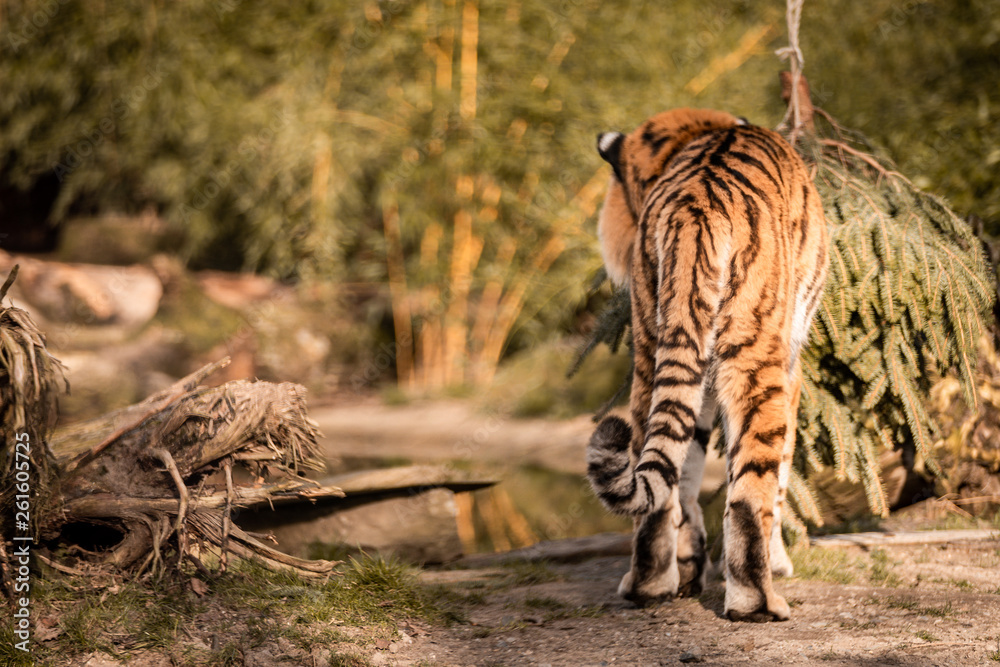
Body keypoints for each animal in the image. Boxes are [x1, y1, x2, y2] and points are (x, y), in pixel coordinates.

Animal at [587, 108, 828, 622]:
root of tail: (694, 205)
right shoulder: (791, 369)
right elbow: (781, 478)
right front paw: (779, 562)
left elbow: (684, 477)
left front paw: (689, 566)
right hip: (756, 363)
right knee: (749, 494)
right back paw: (759, 602)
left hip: (651, 355)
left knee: (658, 492)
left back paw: (649, 585)